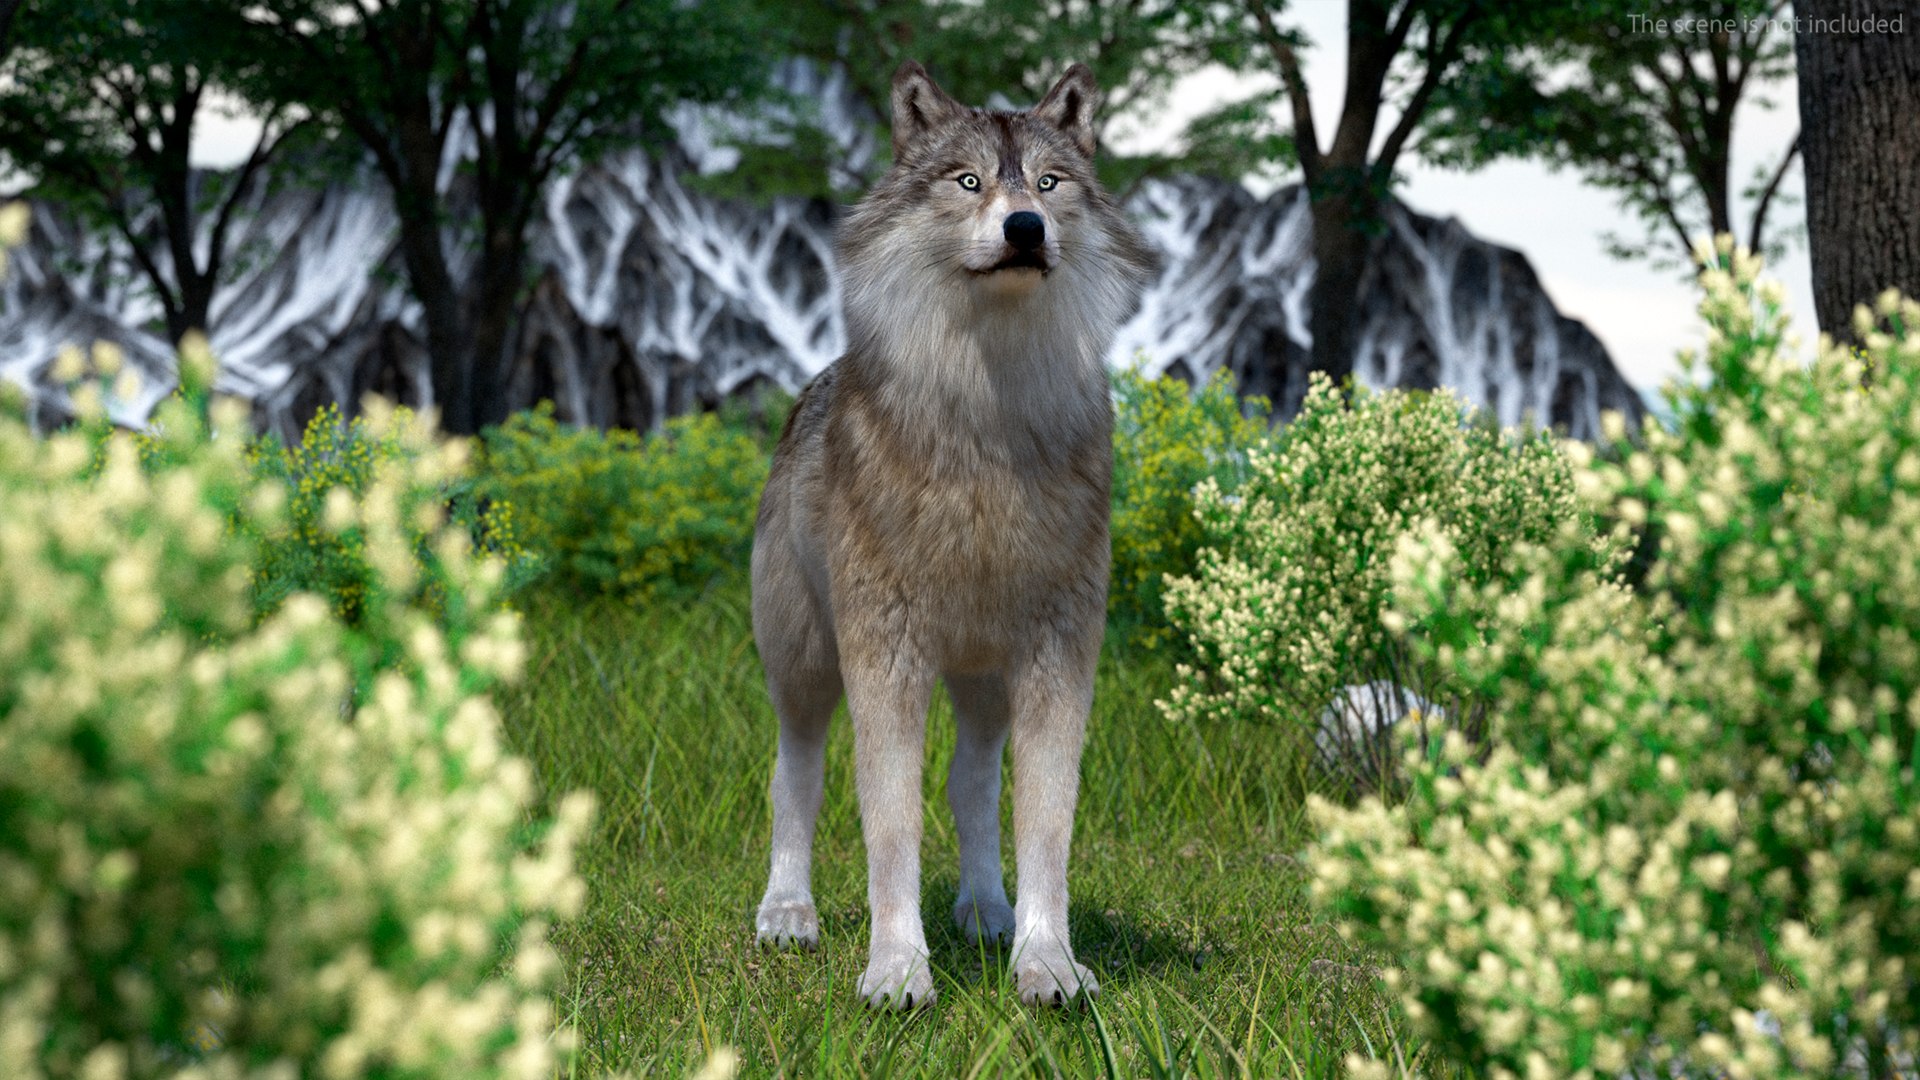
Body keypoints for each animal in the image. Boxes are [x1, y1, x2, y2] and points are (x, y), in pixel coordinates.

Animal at [749, 60, 1156, 1009]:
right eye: (968, 181)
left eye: (1049, 183)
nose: (1023, 226)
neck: (989, 425)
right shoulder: (884, 653)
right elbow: (891, 826)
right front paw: (897, 971)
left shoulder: (1058, 654)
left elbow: (1045, 825)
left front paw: (1047, 963)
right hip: (805, 665)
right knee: (795, 776)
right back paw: (787, 915)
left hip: (982, 683)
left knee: (969, 785)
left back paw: (985, 910)